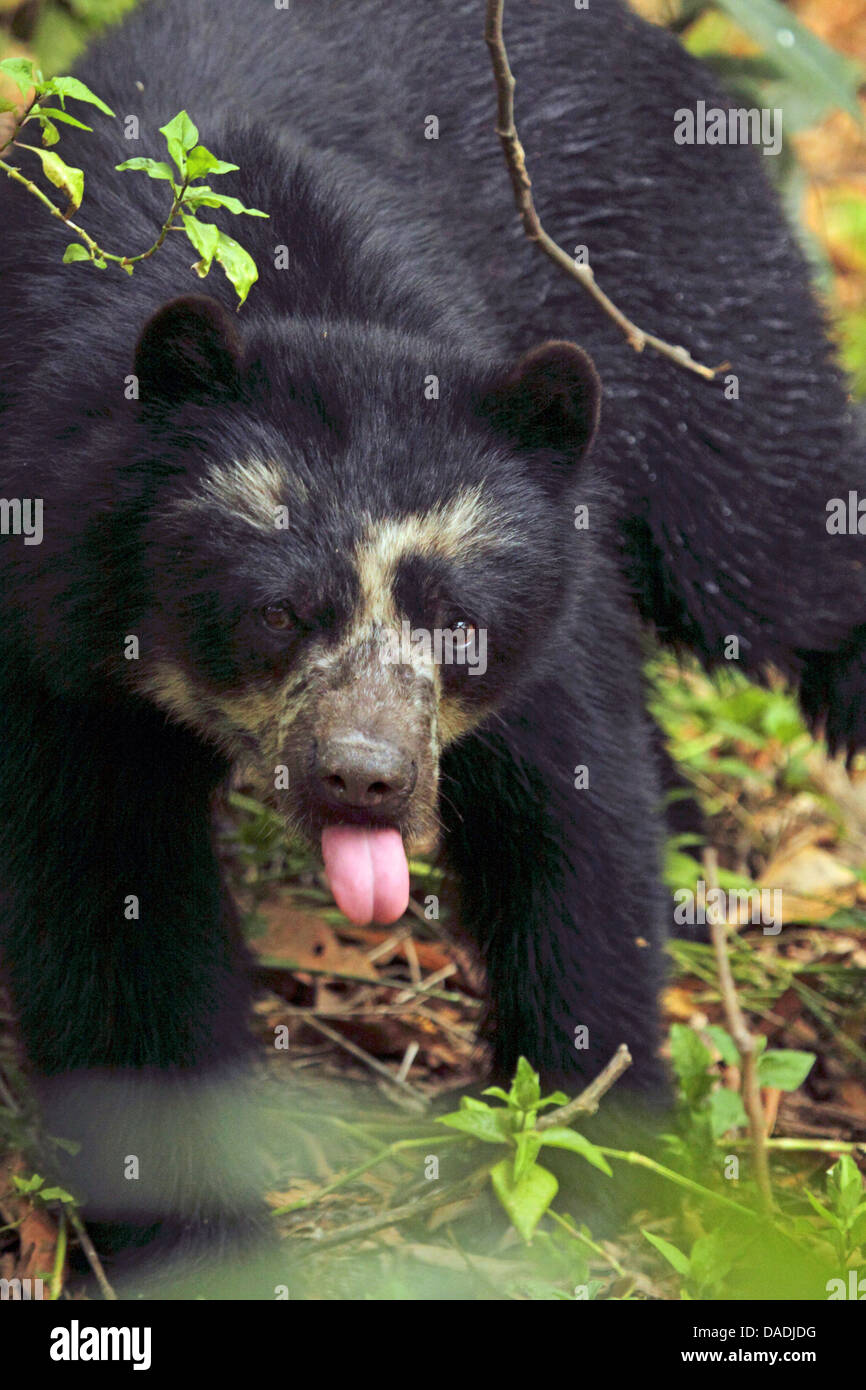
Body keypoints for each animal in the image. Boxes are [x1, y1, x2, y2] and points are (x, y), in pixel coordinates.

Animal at [0, 0, 863, 1265]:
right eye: (277, 613)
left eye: (452, 621)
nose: (363, 778)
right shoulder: (58, 629)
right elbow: (108, 900)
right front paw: (199, 1240)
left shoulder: (545, 607)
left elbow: (569, 817)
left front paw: (579, 1157)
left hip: (692, 296)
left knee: (782, 536)